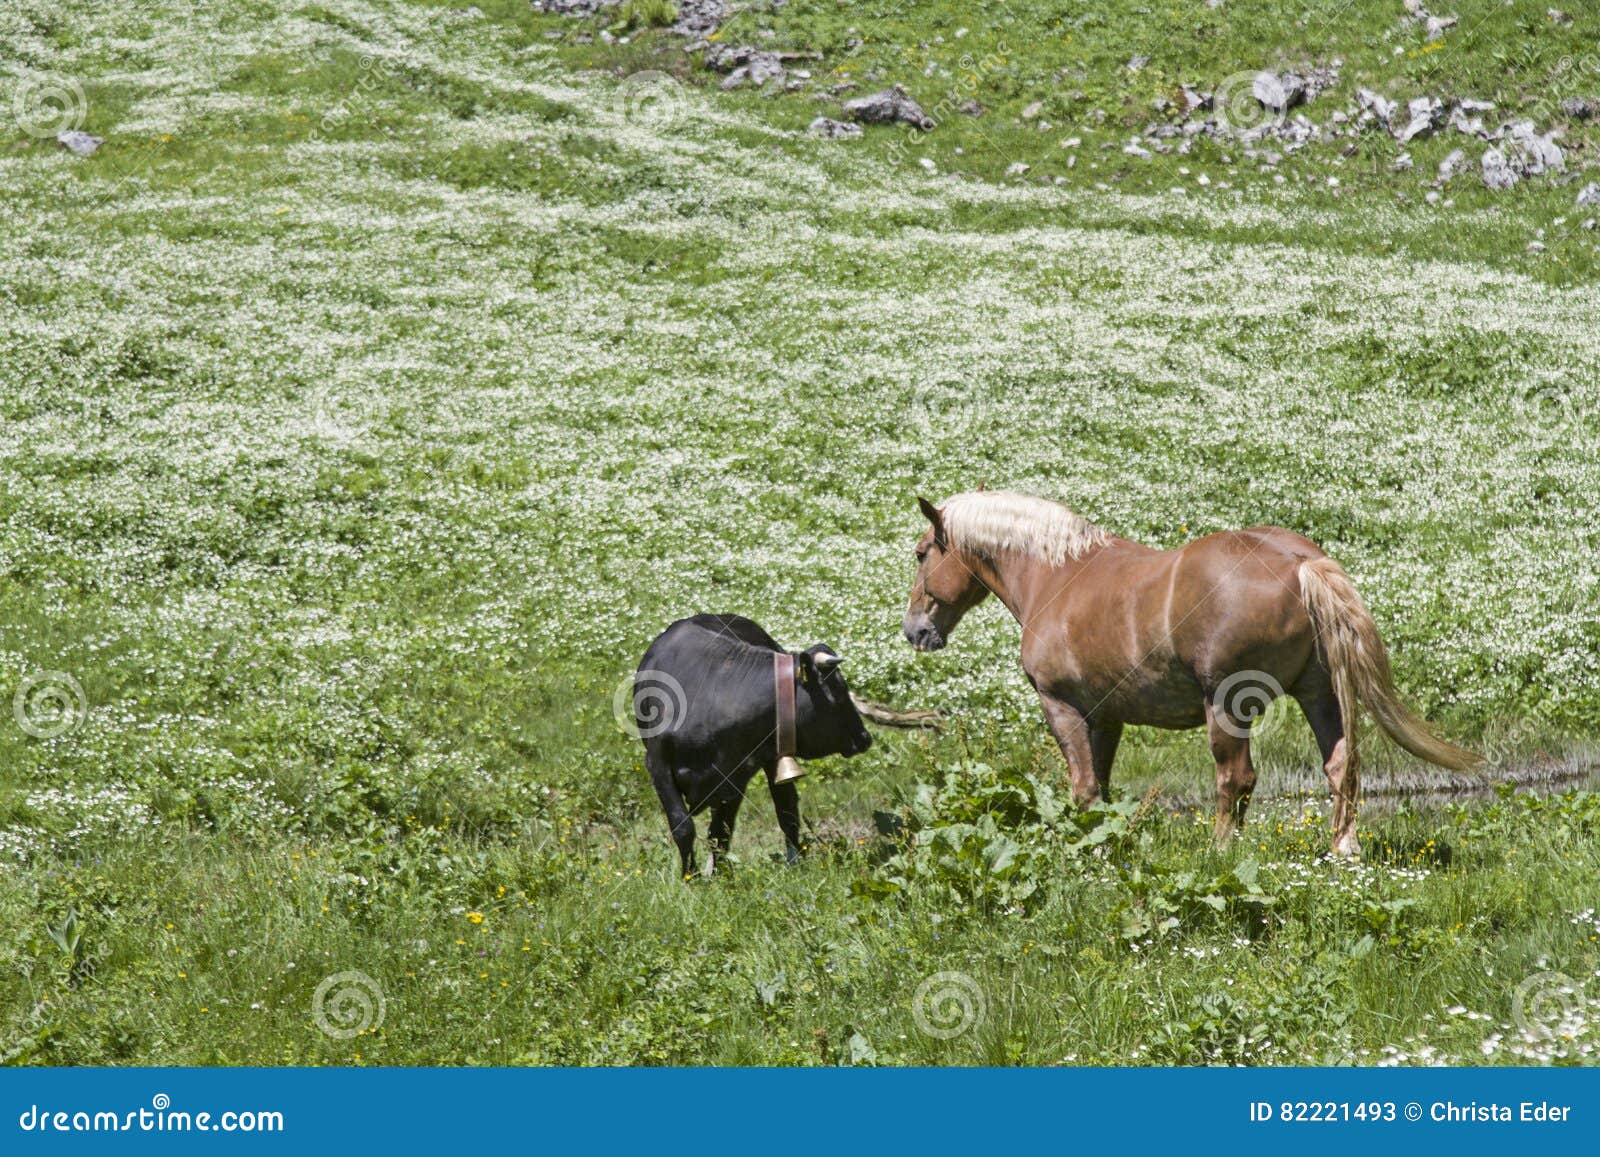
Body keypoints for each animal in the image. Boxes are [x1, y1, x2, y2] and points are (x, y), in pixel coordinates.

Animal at [633, 614, 873, 878]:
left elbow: (721, 832)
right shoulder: (657, 764)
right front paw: (690, 876)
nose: (864, 737)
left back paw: (794, 863)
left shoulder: (735, 776)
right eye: (838, 692)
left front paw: (720, 876)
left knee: (786, 809)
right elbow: (683, 827)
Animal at [900, 491, 1479, 856]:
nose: (914, 631)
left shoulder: (1061, 706)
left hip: (1227, 706)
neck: (1057, 574)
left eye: (922, 553)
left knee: (1236, 779)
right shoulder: (1106, 718)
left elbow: (1083, 789)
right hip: (1319, 695)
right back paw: (1344, 850)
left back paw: (1221, 850)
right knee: (1341, 767)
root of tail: (1300, 563)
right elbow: (1102, 787)